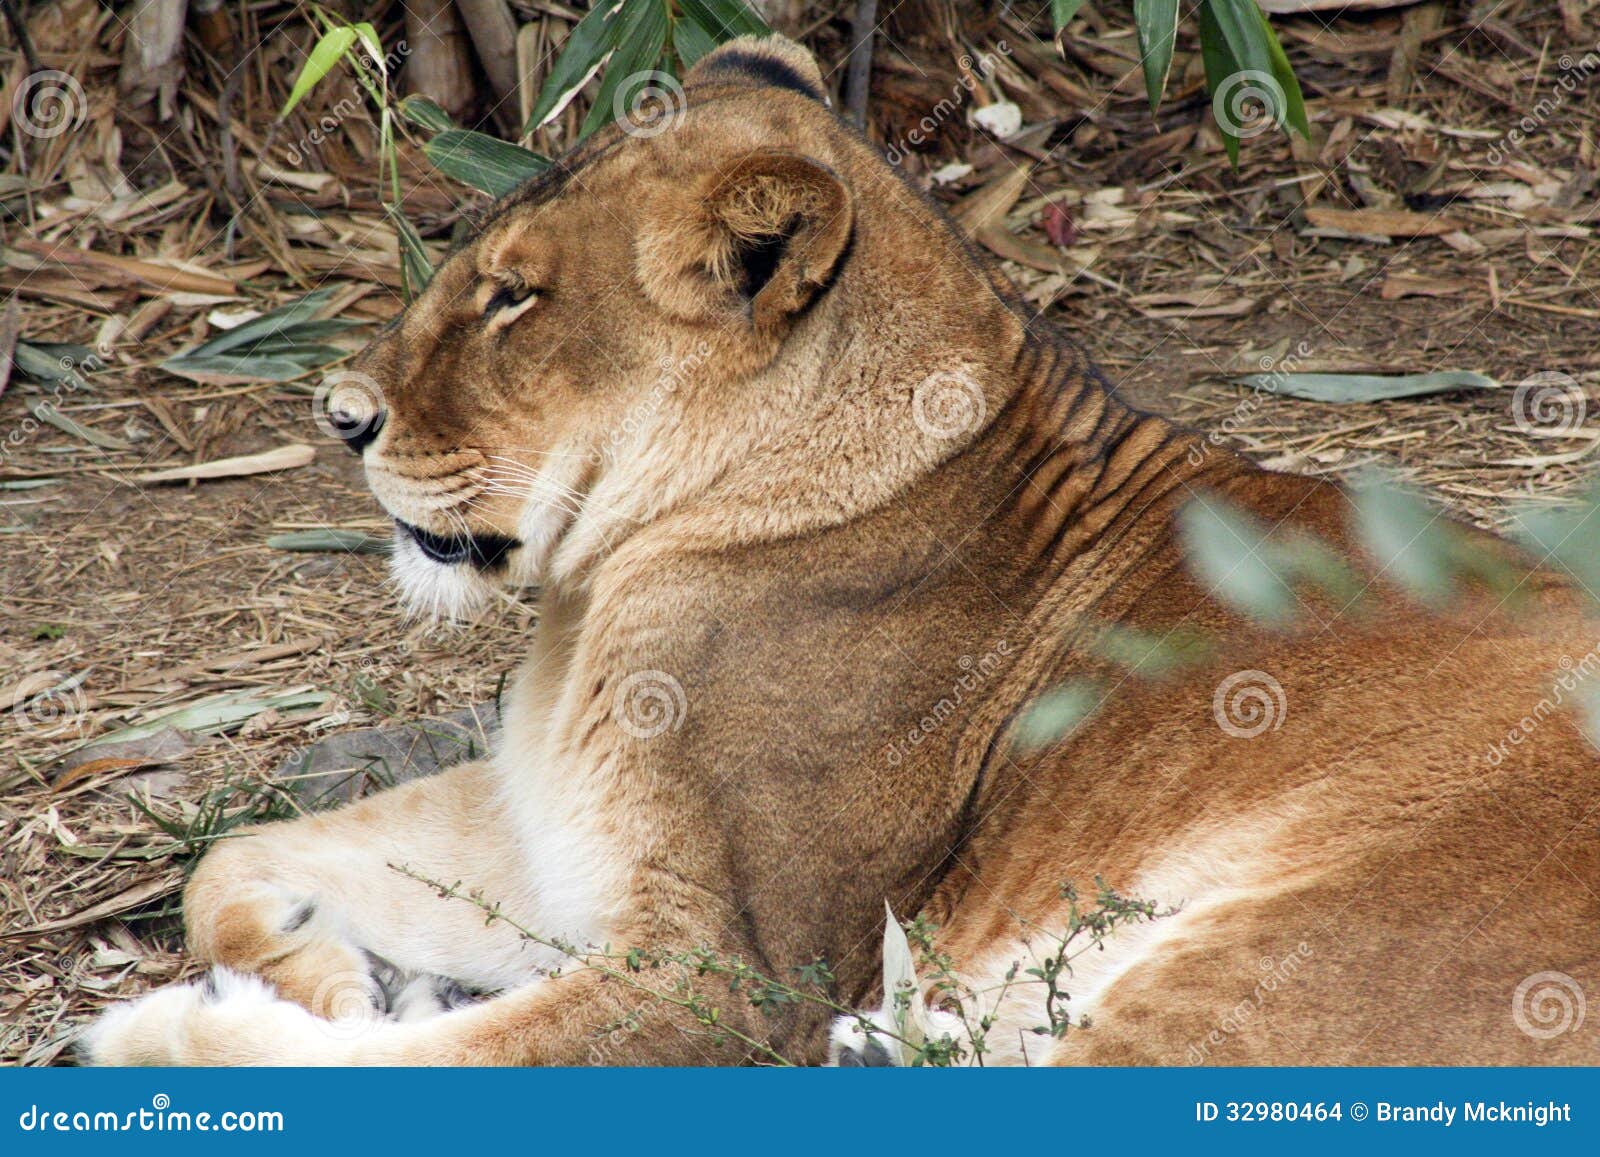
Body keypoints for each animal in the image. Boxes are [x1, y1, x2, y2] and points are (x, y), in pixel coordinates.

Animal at [85, 35, 1599, 1067]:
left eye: (514, 297)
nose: (341, 417)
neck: (609, 584)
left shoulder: (737, 973)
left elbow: (439, 1063)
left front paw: (206, 1026)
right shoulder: (557, 834)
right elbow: (239, 856)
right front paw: (326, 970)